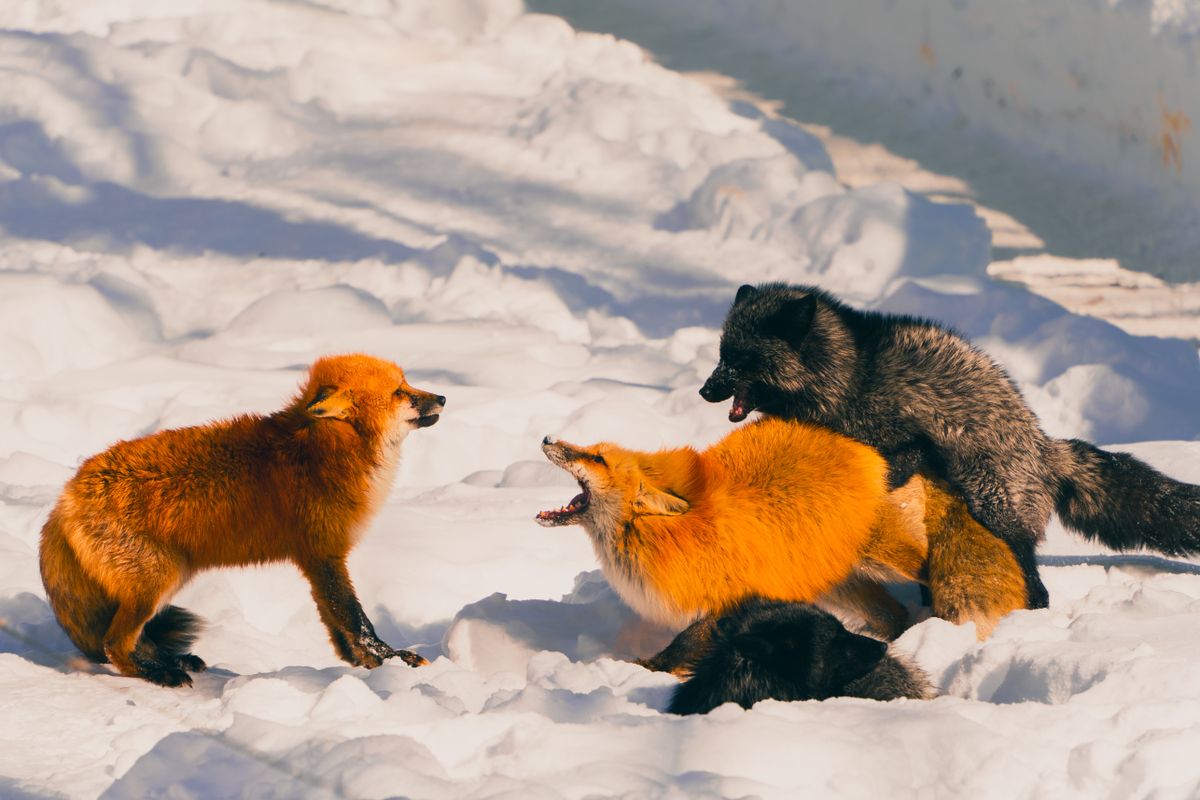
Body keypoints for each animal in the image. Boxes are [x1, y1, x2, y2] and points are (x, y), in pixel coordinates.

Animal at [39, 353, 445, 687]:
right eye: (400, 392)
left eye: (408, 384)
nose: (442, 397)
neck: (326, 449)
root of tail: (65, 498)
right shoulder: (324, 553)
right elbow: (356, 619)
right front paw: (393, 661)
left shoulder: (317, 560)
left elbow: (338, 628)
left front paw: (365, 667)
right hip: (154, 583)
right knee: (114, 644)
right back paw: (159, 673)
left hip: (168, 579)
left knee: (129, 639)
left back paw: (174, 661)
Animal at [535, 417, 1025, 675]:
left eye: (596, 458)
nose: (547, 437)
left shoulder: (730, 598)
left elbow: (678, 648)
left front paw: (640, 671)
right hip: (834, 579)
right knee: (893, 616)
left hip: (888, 558)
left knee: (926, 580)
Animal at [701, 283, 1200, 609]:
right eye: (722, 355)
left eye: (743, 360)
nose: (705, 391)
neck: (848, 376)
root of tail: (1044, 445)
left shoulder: (910, 435)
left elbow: (903, 457)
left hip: (995, 509)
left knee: (1033, 580)